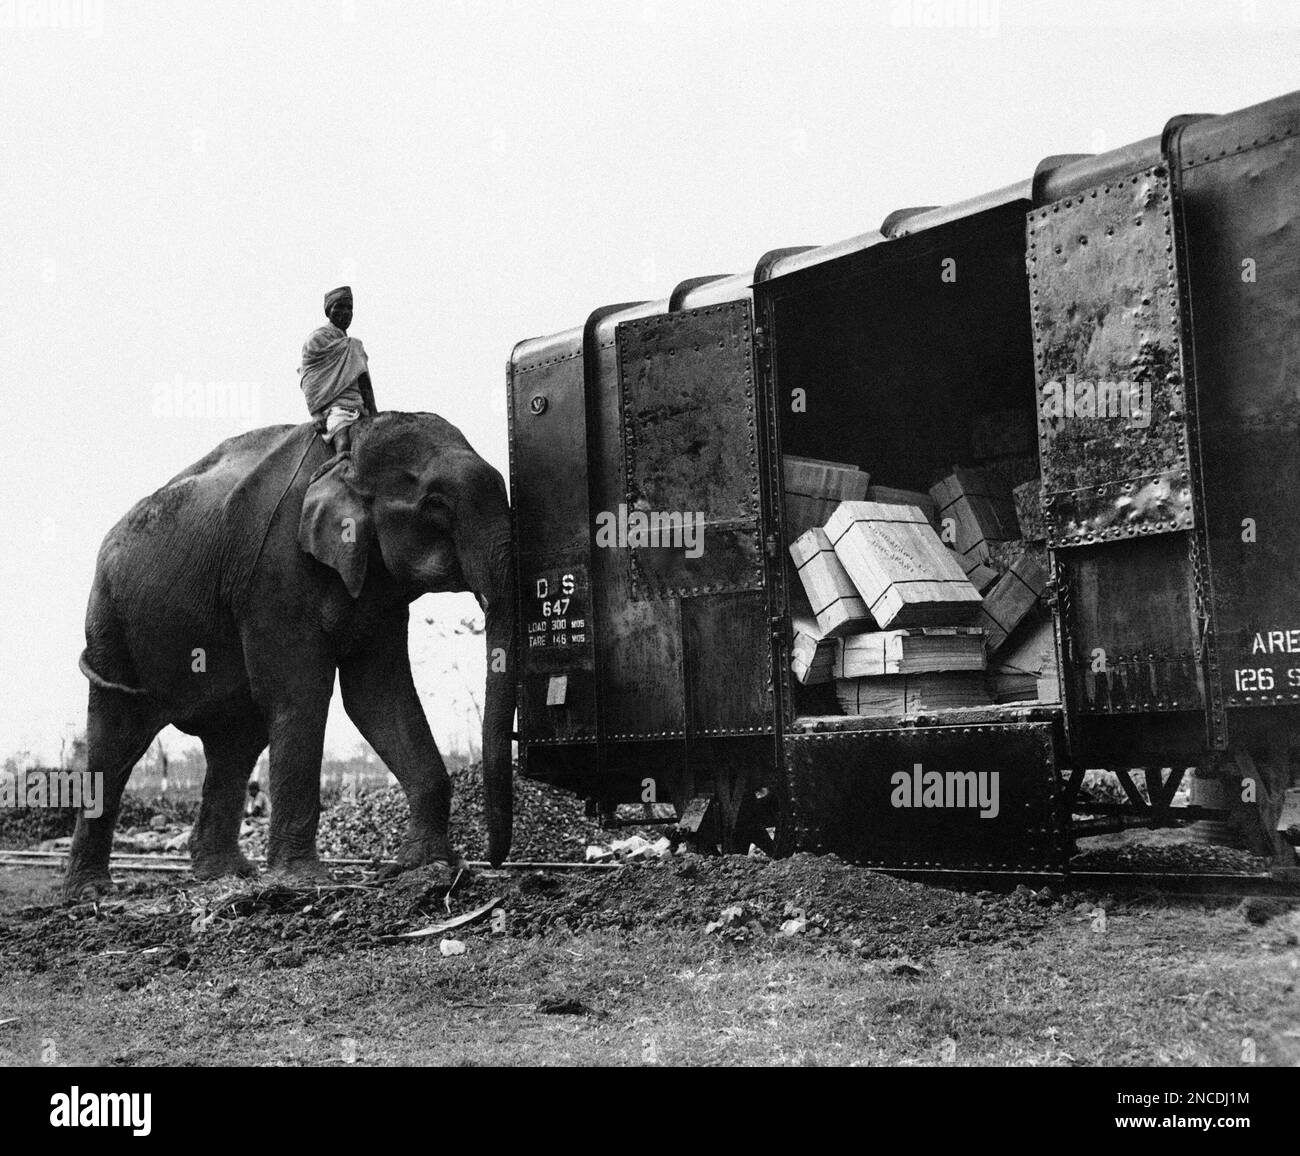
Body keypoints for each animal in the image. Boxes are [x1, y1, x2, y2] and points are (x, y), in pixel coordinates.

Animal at [67, 412, 516, 900]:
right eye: (435, 504)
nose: (493, 860)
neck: (346, 453)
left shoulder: (377, 587)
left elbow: (378, 696)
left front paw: (423, 867)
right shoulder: (274, 575)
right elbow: (300, 695)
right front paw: (305, 881)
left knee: (235, 741)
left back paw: (226, 875)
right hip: (109, 626)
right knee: (116, 739)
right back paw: (92, 892)